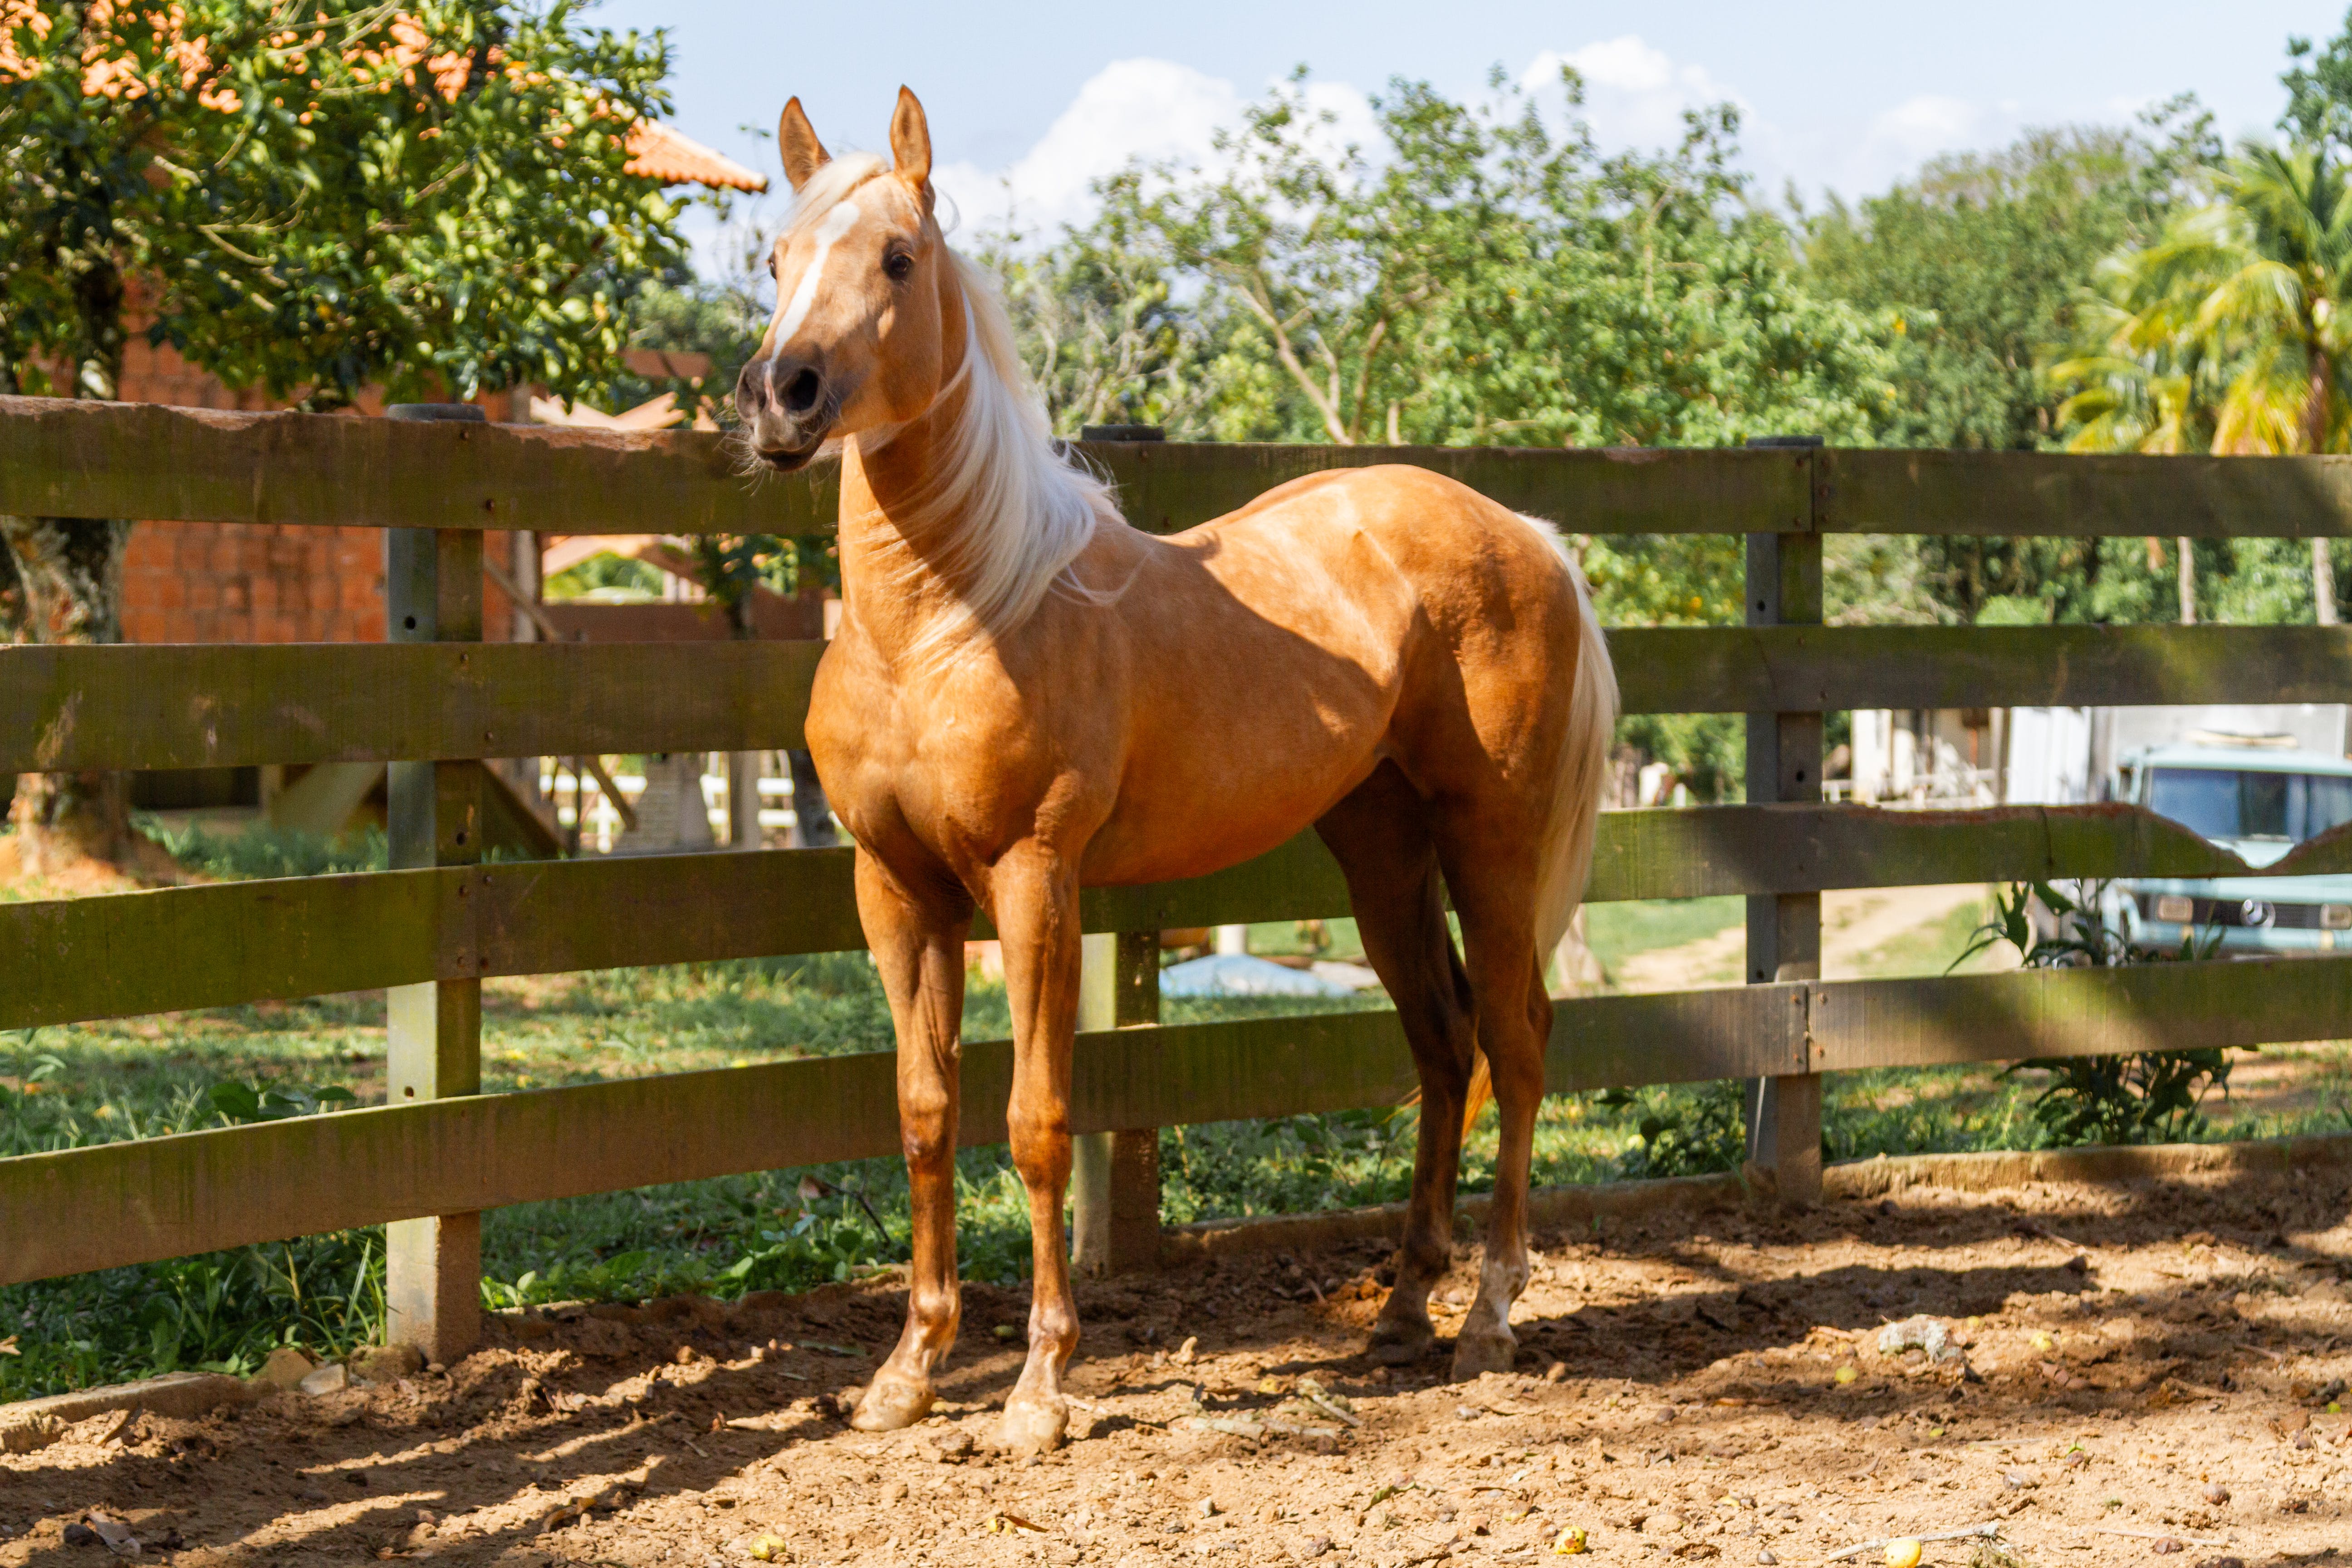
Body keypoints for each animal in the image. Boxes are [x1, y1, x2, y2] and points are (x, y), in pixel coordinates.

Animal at [733, 87, 1618, 1456]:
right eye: (776, 260)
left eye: (897, 259)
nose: (782, 396)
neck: (947, 618)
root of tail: (1522, 531)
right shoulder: (895, 891)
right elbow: (926, 1114)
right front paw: (908, 1372)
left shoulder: (1035, 883)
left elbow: (1036, 1121)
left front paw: (1039, 1388)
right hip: (1382, 853)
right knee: (1442, 1041)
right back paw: (1400, 1309)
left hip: (1494, 842)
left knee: (1516, 1043)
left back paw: (1489, 1316)